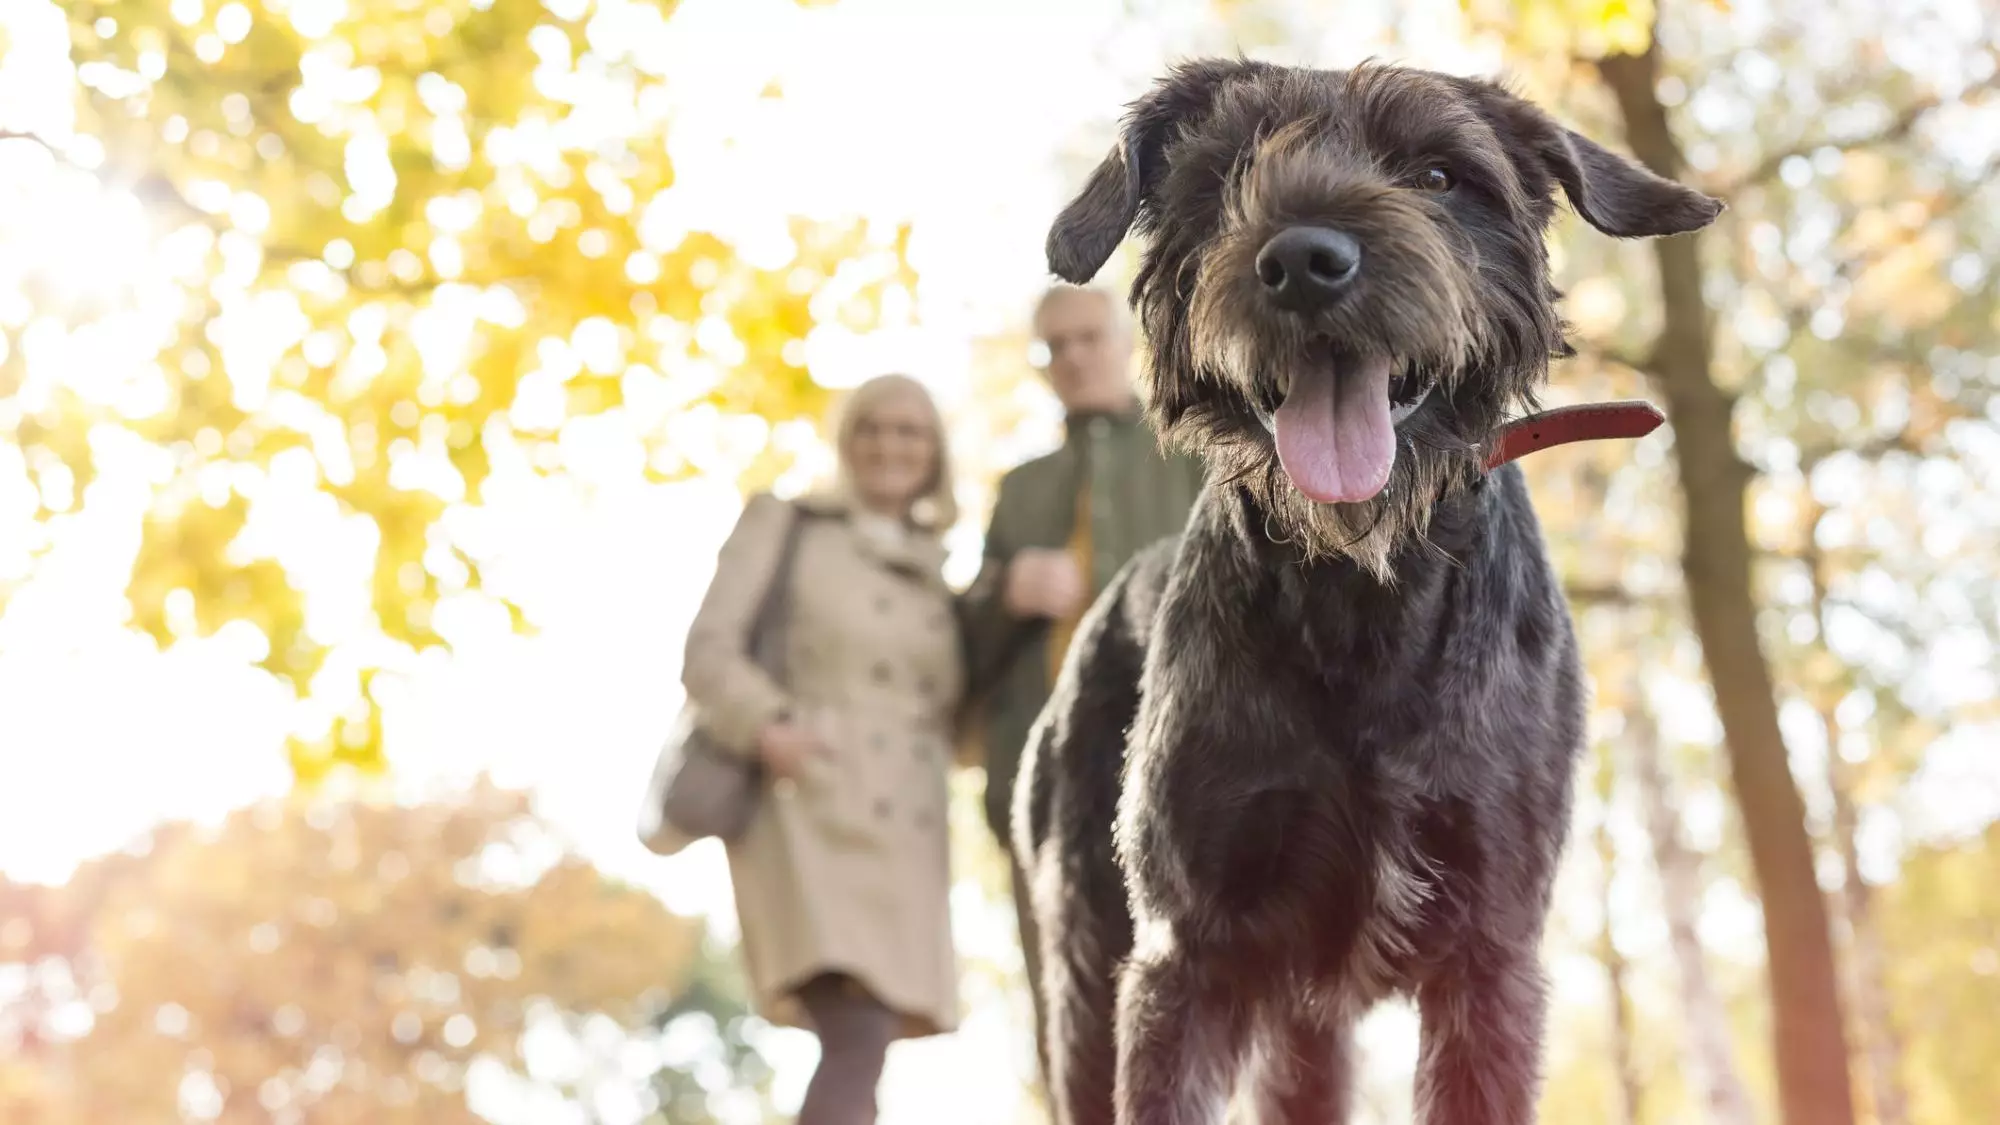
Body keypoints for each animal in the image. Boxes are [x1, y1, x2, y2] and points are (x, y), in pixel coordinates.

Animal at [1008, 61, 1728, 1120]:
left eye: (1436, 175)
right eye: (1226, 174)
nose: (1305, 261)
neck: (1362, 592)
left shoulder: (1489, 952)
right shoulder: (1185, 956)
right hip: (1084, 970)